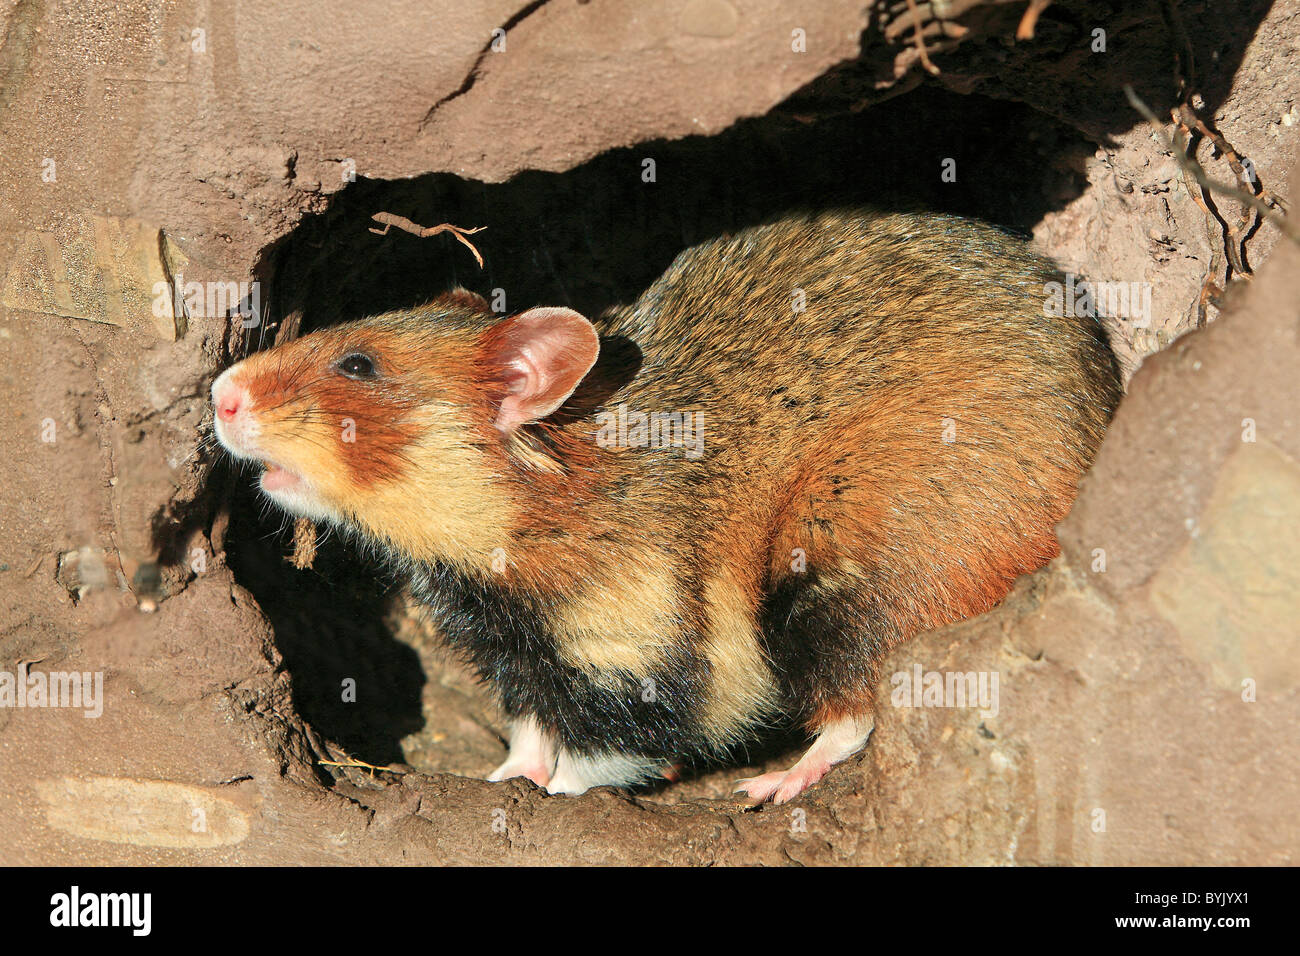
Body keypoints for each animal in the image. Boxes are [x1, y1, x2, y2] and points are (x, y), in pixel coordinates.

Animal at [211, 208, 1121, 803]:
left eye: (358, 364)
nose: (220, 393)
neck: (529, 510)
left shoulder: (641, 650)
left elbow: (610, 753)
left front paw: (557, 792)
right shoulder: (521, 656)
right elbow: (532, 729)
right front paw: (503, 776)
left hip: (840, 569)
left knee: (858, 710)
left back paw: (774, 784)